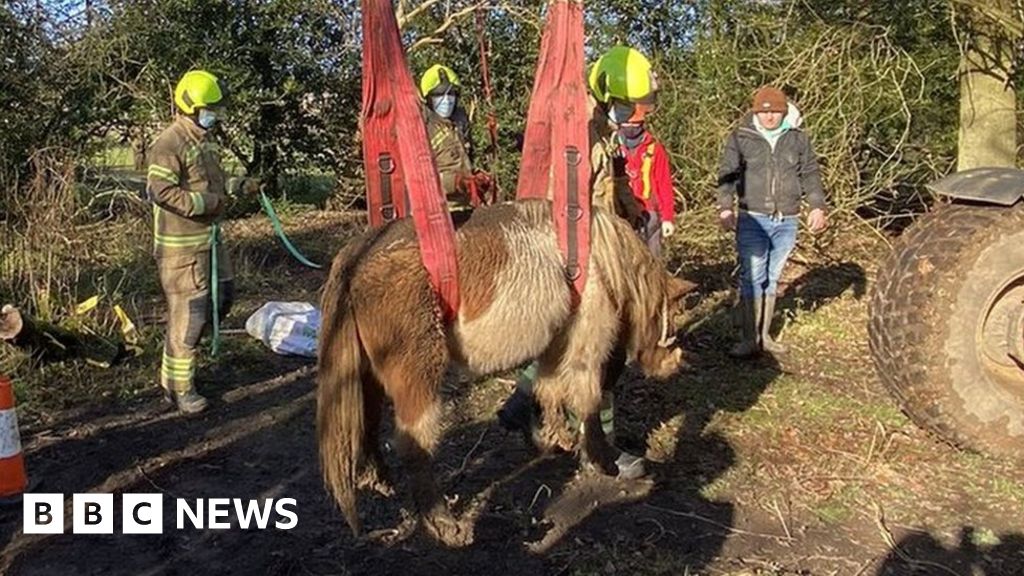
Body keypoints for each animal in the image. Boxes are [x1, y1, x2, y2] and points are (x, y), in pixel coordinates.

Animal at [316, 199, 692, 545]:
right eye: (674, 317)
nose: (676, 363)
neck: (605, 262)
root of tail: (354, 256)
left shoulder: (556, 342)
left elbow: (548, 387)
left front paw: (551, 437)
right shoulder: (586, 347)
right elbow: (588, 402)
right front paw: (604, 462)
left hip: (366, 371)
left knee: (367, 417)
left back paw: (377, 478)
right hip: (417, 375)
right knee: (412, 443)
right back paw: (445, 525)